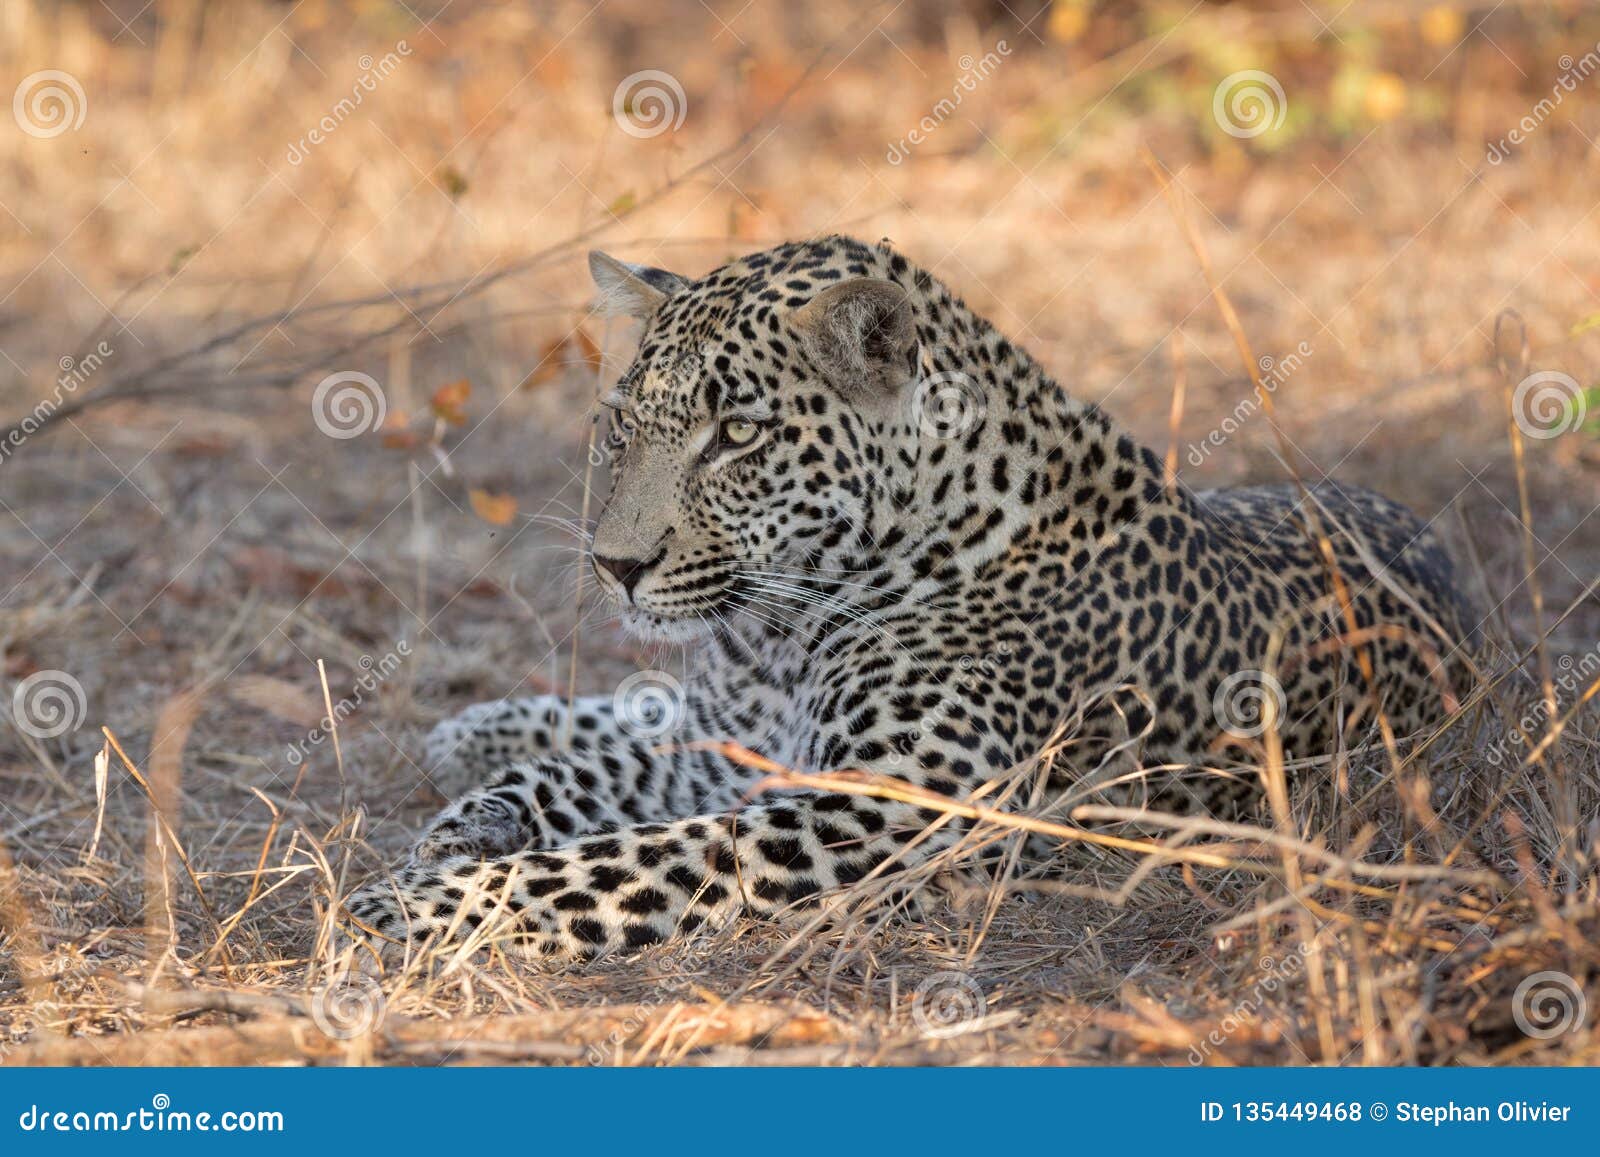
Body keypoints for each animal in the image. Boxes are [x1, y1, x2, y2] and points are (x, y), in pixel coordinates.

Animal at [345, 235, 1471, 959]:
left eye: (737, 434)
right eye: (622, 423)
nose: (616, 564)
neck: (784, 631)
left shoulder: (887, 806)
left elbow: (621, 855)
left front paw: (414, 904)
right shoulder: (746, 753)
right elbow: (601, 773)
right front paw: (466, 827)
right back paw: (479, 729)